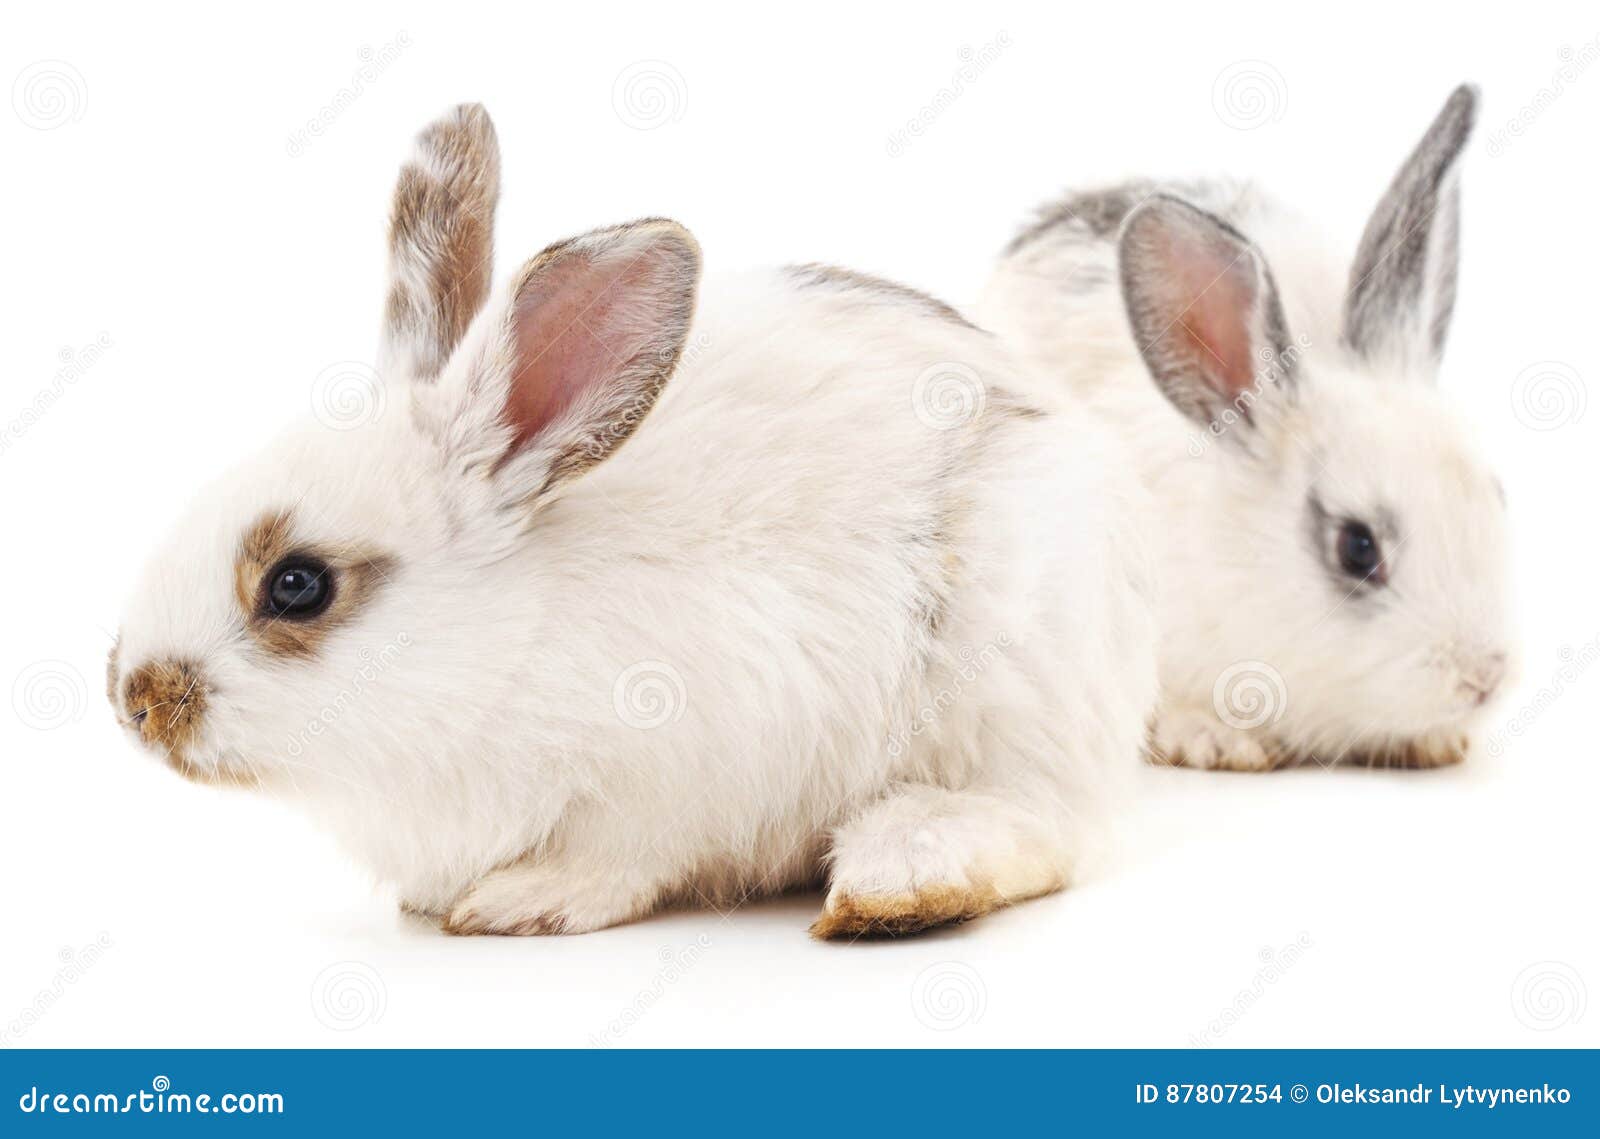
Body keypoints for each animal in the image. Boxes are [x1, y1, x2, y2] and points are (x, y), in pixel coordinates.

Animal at [107, 104, 1157, 937]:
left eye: (298, 584)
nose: (137, 700)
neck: (509, 640)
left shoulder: (674, 778)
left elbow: (619, 862)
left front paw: (521, 901)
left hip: (1008, 677)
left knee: (1035, 820)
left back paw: (898, 882)